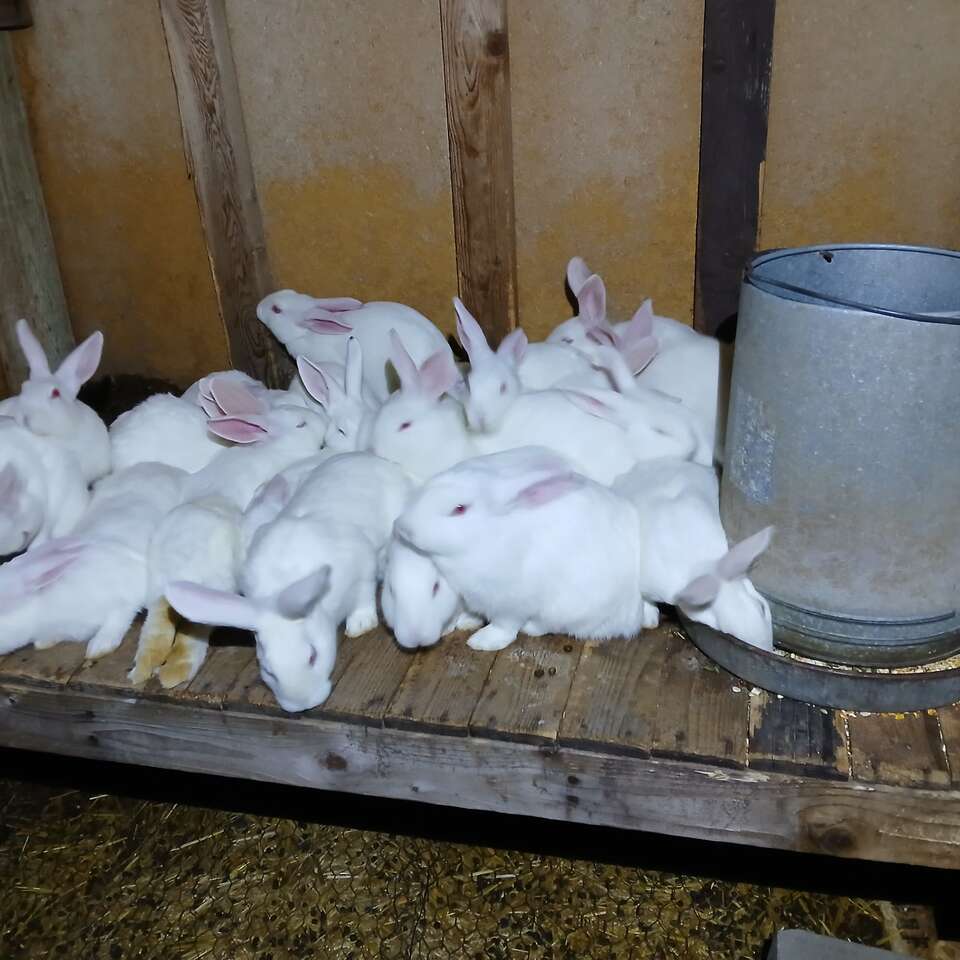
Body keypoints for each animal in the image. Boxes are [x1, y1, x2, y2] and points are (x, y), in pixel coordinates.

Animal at [393, 447, 664, 651]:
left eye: (459, 509)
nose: (403, 526)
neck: (486, 535)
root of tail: (635, 610)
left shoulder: (510, 602)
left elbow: (504, 626)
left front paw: (481, 641)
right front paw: (466, 622)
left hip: (570, 608)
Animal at [613, 459, 774, 650]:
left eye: (762, 607)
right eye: (728, 632)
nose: (767, 648)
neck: (703, 567)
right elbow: (645, 598)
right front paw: (650, 619)